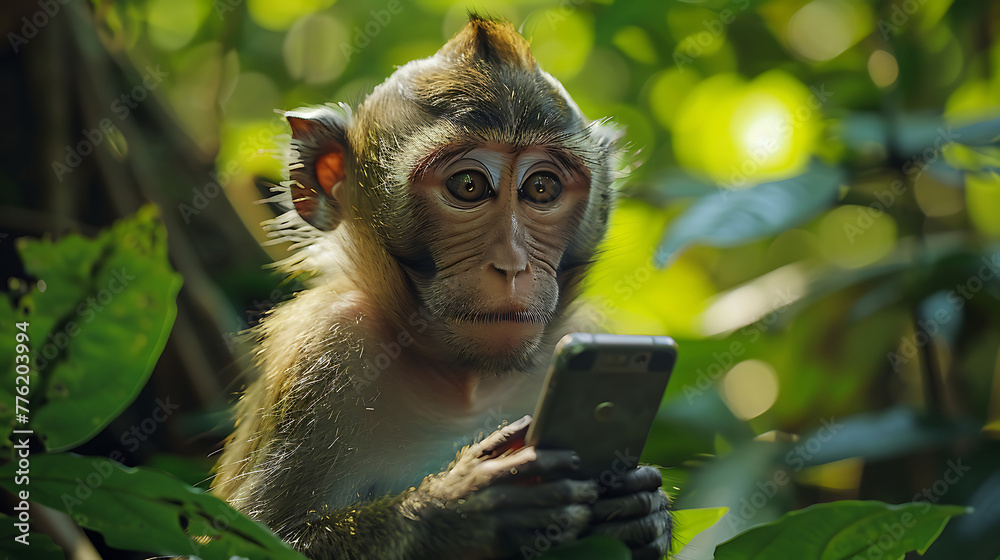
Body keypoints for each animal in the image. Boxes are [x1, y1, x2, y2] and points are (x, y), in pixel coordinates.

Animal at [211, 14, 672, 560]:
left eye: (542, 188)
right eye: (468, 186)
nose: (511, 265)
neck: (463, 383)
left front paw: (641, 509)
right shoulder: (323, 348)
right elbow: (244, 537)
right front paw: (458, 511)